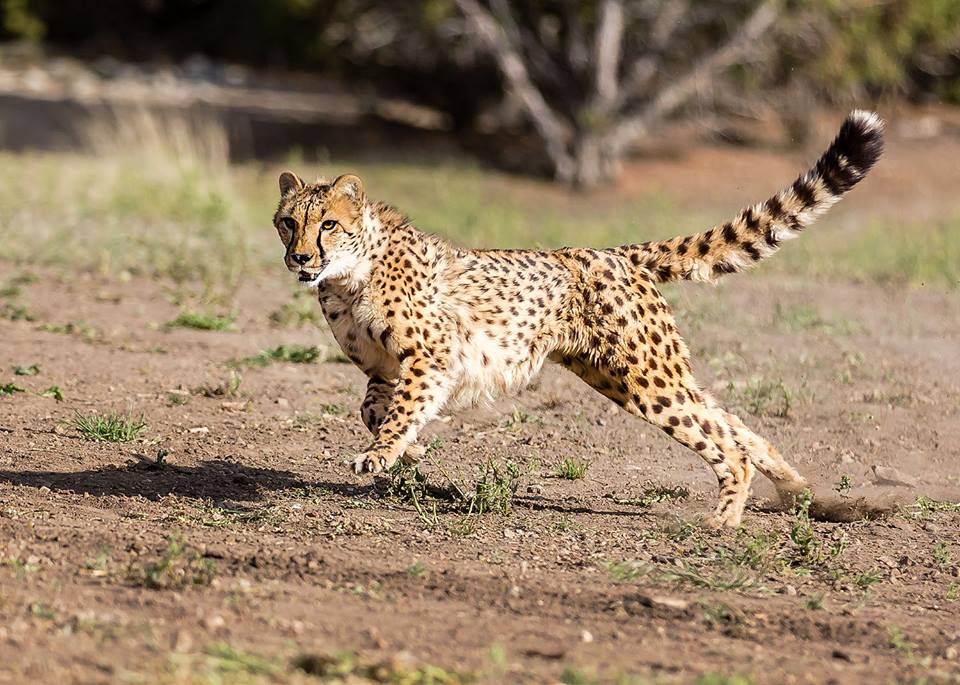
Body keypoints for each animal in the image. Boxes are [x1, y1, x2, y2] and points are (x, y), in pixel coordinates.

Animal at [272, 111, 884, 528]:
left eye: (327, 224)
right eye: (287, 222)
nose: (300, 257)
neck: (350, 274)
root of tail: (613, 251)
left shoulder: (433, 355)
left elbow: (399, 410)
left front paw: (382, 455)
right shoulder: (384, 369)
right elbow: (375, 407)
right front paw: (409, 449)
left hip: (645, 380)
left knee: (724, 440)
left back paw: (725, 520)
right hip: (627, 373)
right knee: (736, 425)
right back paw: (802, 496)